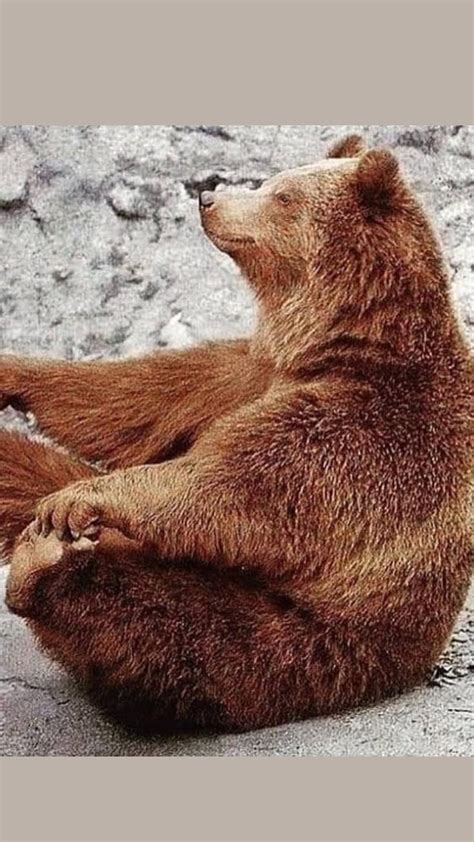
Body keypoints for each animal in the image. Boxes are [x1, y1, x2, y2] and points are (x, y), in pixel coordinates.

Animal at [1, 134, 472, 733]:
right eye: (273, 180)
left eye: (283, 195)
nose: (209, 197)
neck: (333, 339)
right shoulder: (247, 374)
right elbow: (135, 396)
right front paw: (13, 373)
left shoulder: (365, 434)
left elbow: (230, 491)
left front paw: (78, 499)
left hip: (307, 644)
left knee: (174, 627)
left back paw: (41, 560)